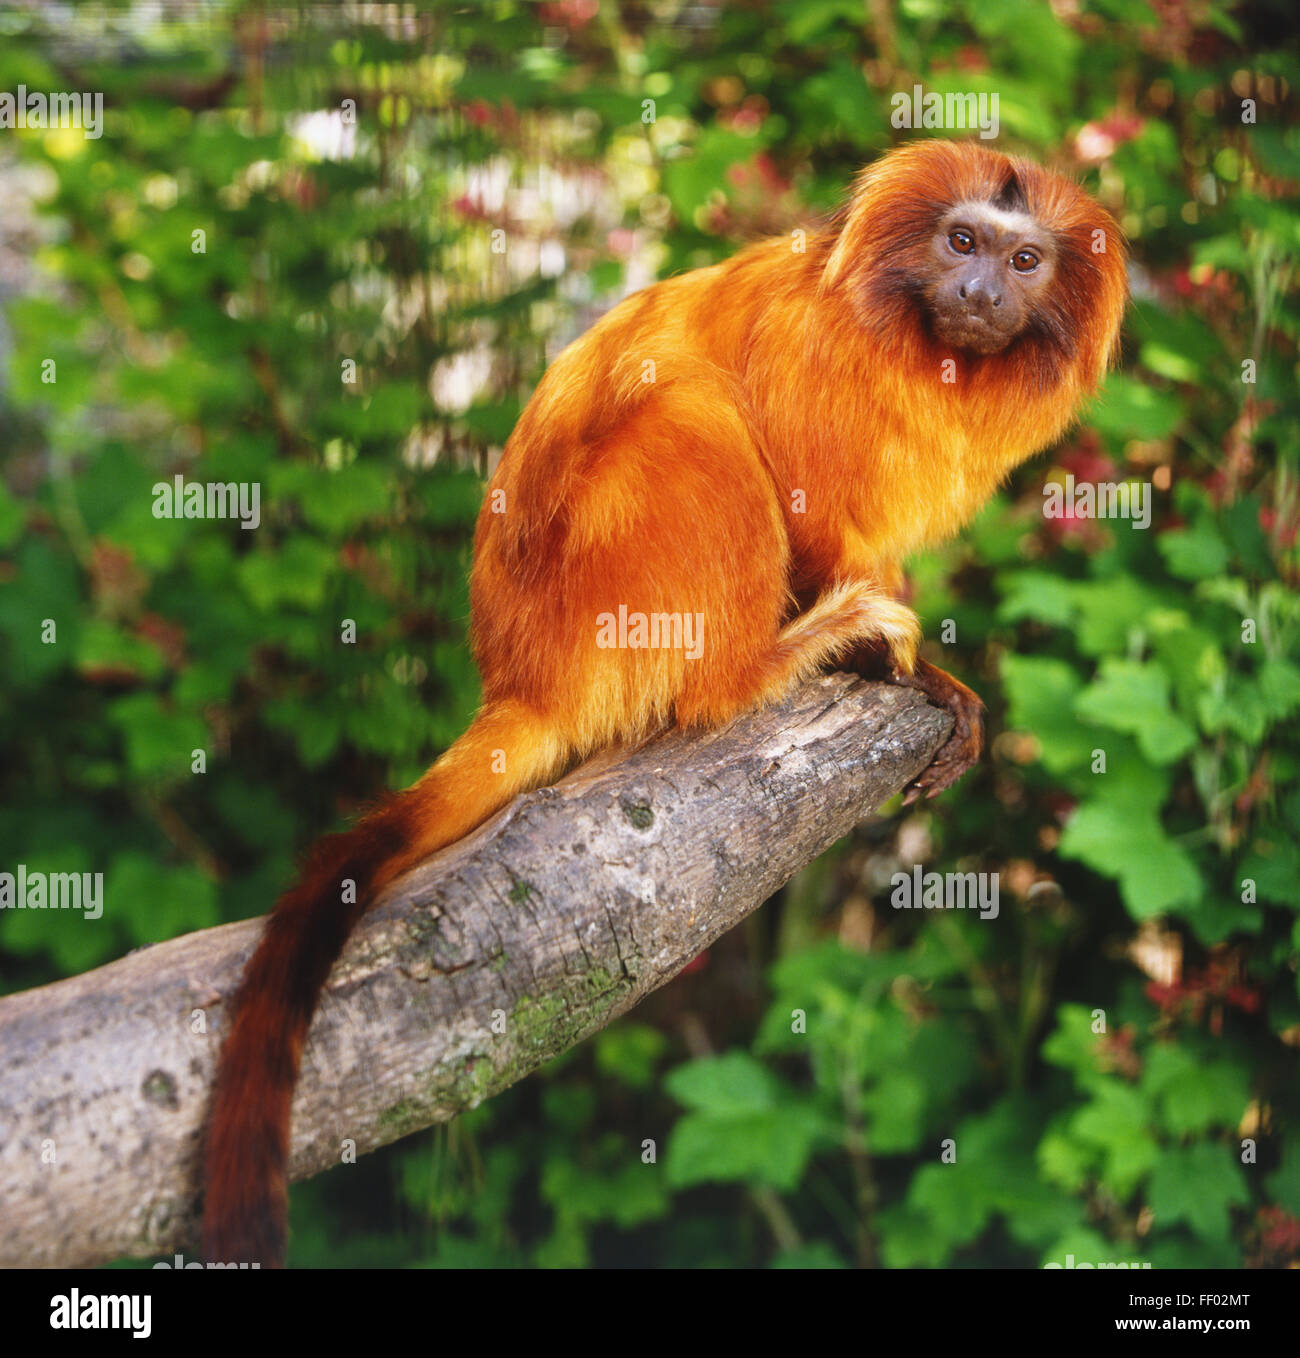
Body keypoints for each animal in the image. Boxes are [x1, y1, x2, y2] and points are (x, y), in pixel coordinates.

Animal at [200, 138, 1128, 1265]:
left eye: (1025, 258)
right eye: (960, 241)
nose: (982, 292)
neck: (918, 348)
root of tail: (526, 674)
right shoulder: (813, 365)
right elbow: (812, 503)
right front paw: (894, 660)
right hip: (602, 590)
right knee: (692, 413)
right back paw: (771, 662)